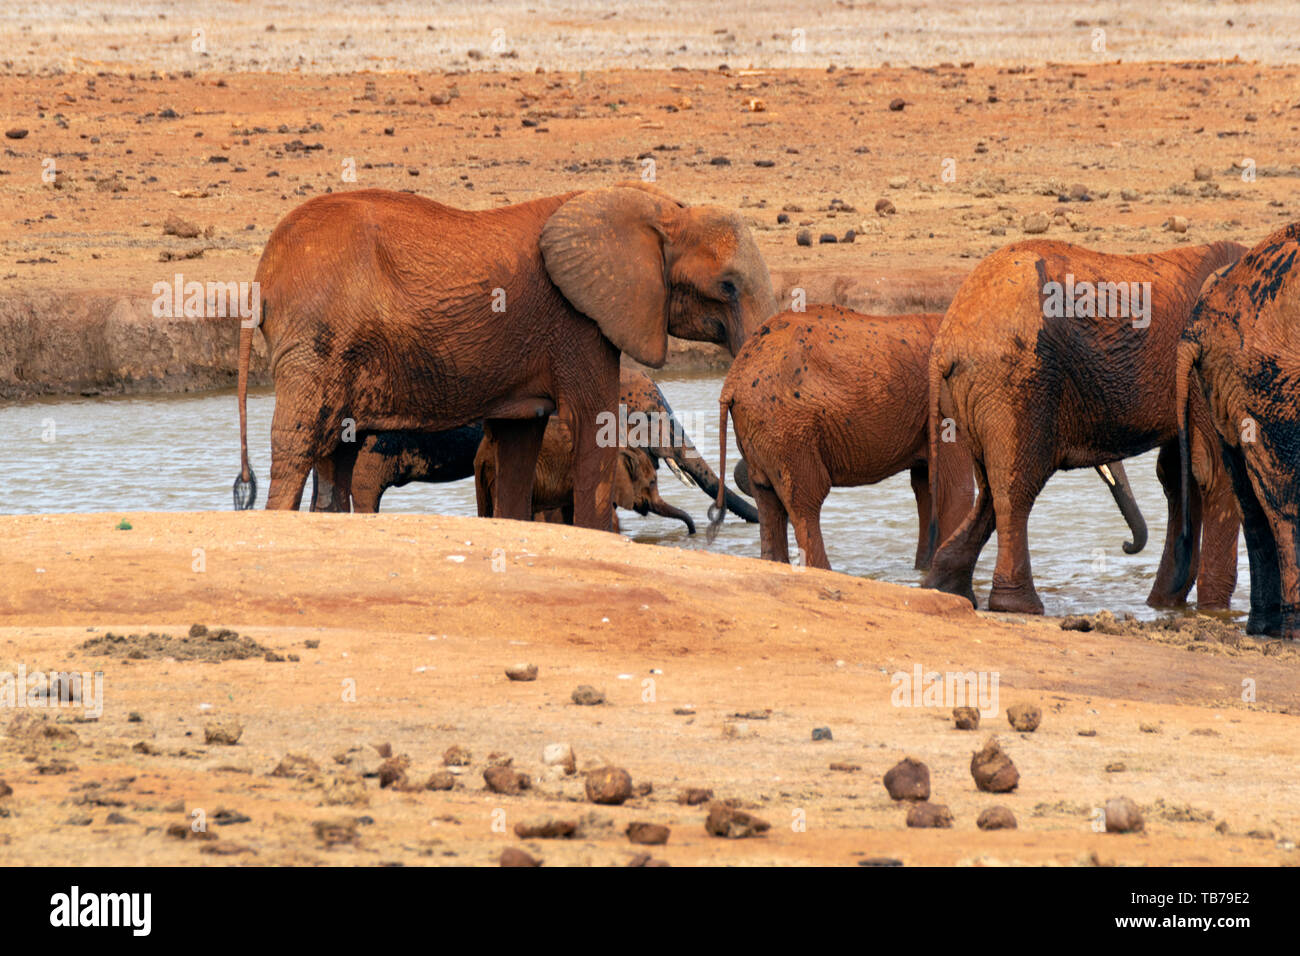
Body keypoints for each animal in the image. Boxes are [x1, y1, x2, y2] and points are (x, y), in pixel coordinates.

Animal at [708, 306, 1148, 572]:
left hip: (762, 427)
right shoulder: (945, 409)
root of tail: (732, 379)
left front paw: (922, 571)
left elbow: (927, 490)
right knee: (805, 502)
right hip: (787, 426)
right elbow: (955, 491)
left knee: (769, 502)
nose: (1126, 546)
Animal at [923, 239, 1245, 615]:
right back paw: (1019, 606)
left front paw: (1167, 606)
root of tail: (946, 343)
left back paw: (945, 589)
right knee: (1016, 488)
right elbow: (1216, 470)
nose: (1125, 545)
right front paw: (1214, 611)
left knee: (991, 487)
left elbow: (1180, 473)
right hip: (1015, 383)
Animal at [1175, 222, 1300, 638]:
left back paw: (1263, 629)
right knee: (1286, 503)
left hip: (1231, 384)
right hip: (1270, 381)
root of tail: (1199, 322)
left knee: (1250, 500)